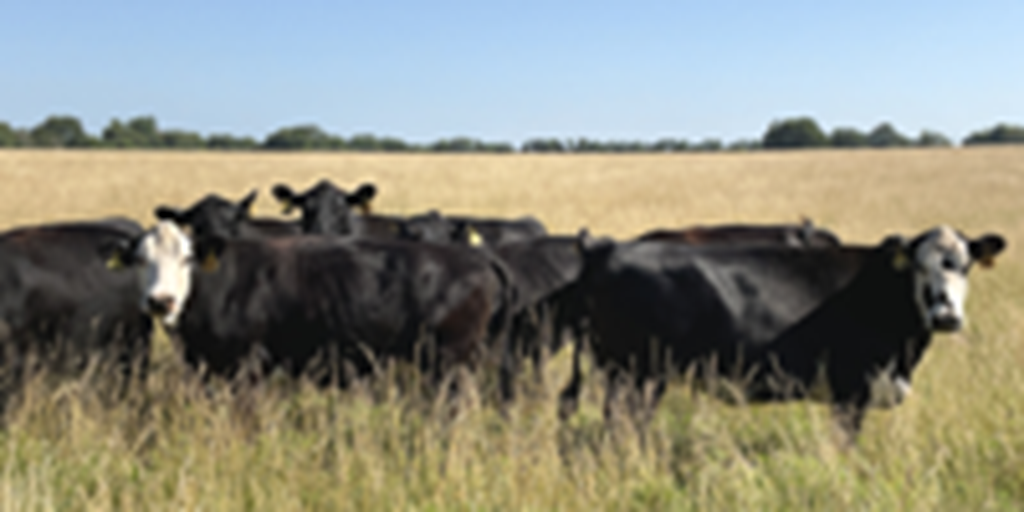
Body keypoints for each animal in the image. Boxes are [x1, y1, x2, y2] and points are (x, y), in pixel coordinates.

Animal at [105, 221, 512, 392]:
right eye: (139, 259)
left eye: (187, 258)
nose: (161, 300)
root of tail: (478, 258)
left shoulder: (248, 367)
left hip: (450, 363)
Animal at [557, 226, 1005, 442]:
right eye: (919, 266)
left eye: (965, 266)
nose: (945, 315)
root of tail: (604, 249)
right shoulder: (851, 391)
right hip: (632, 373)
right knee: (621, 425)